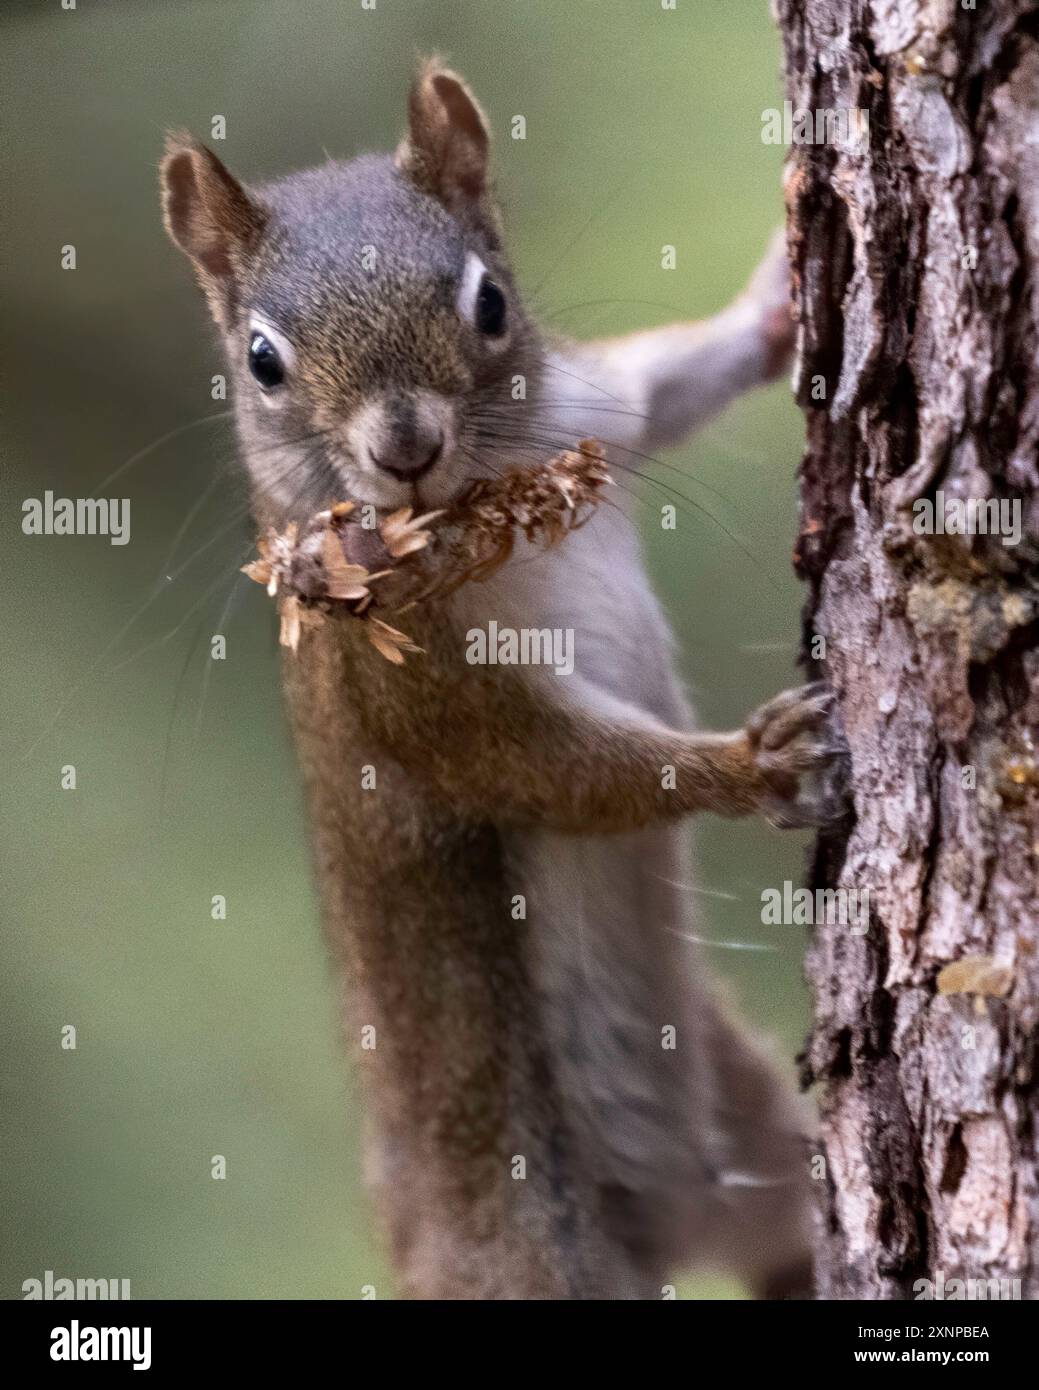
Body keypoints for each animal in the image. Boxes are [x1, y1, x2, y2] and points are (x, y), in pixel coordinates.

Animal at [160, 59, 845, 1300]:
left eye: (489, 300)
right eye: (261, 361)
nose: (404, 449)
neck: (476, 503)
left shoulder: (595, 409)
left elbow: (677, 375)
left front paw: (776, 295)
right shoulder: (409, 687)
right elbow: (542, 768)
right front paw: (755, 765)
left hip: (756, 1129)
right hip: (523, 1248)